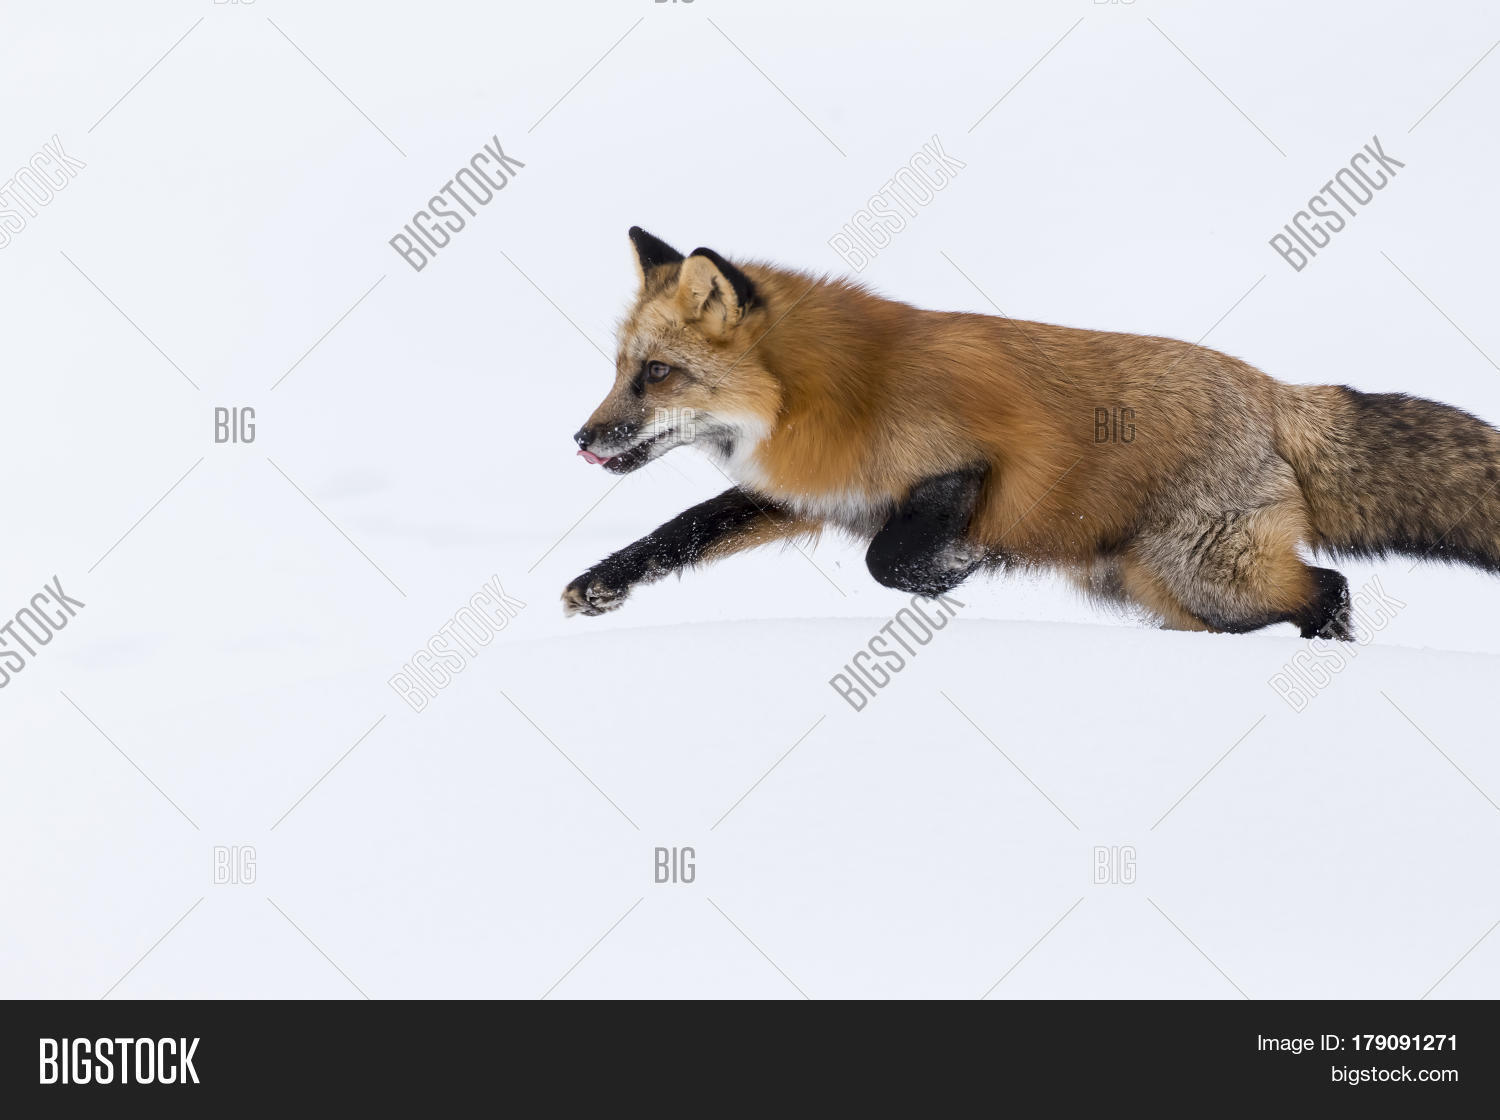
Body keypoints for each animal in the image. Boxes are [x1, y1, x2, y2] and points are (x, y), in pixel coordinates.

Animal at [563, 226, 1500, 638]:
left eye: (657, 373)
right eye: (619, 367)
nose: (582, 439)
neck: (827, 395)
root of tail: (1273, 390)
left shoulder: (968, 466)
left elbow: (887, 563)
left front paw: (954, 572)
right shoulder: (808, 495)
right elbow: (681, 532)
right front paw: (599, 586)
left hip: (1207, 577)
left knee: (1330, 589)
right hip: (1167, 594)